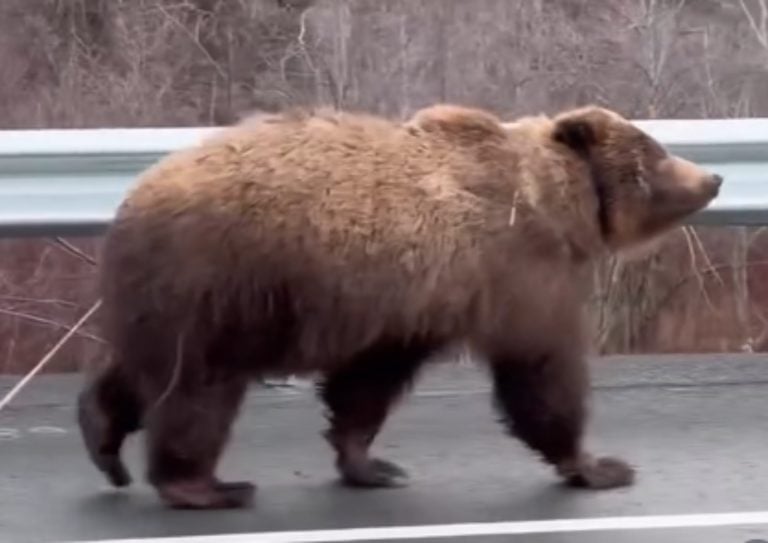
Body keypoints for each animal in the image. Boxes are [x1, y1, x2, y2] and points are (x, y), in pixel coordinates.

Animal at [76, 103, 722, 509]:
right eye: (656, 153)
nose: (714, 176)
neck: (555, 206)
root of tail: (131, 200)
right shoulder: (518, 272)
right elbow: (540, 370)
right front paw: (600, 465)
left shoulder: (412, 305)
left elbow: (367, 384)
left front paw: (372, 465)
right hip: (219, 283)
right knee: (198, 389)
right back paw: (205, 487)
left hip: (171, 299)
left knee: (142, 371)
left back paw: (104, 440)